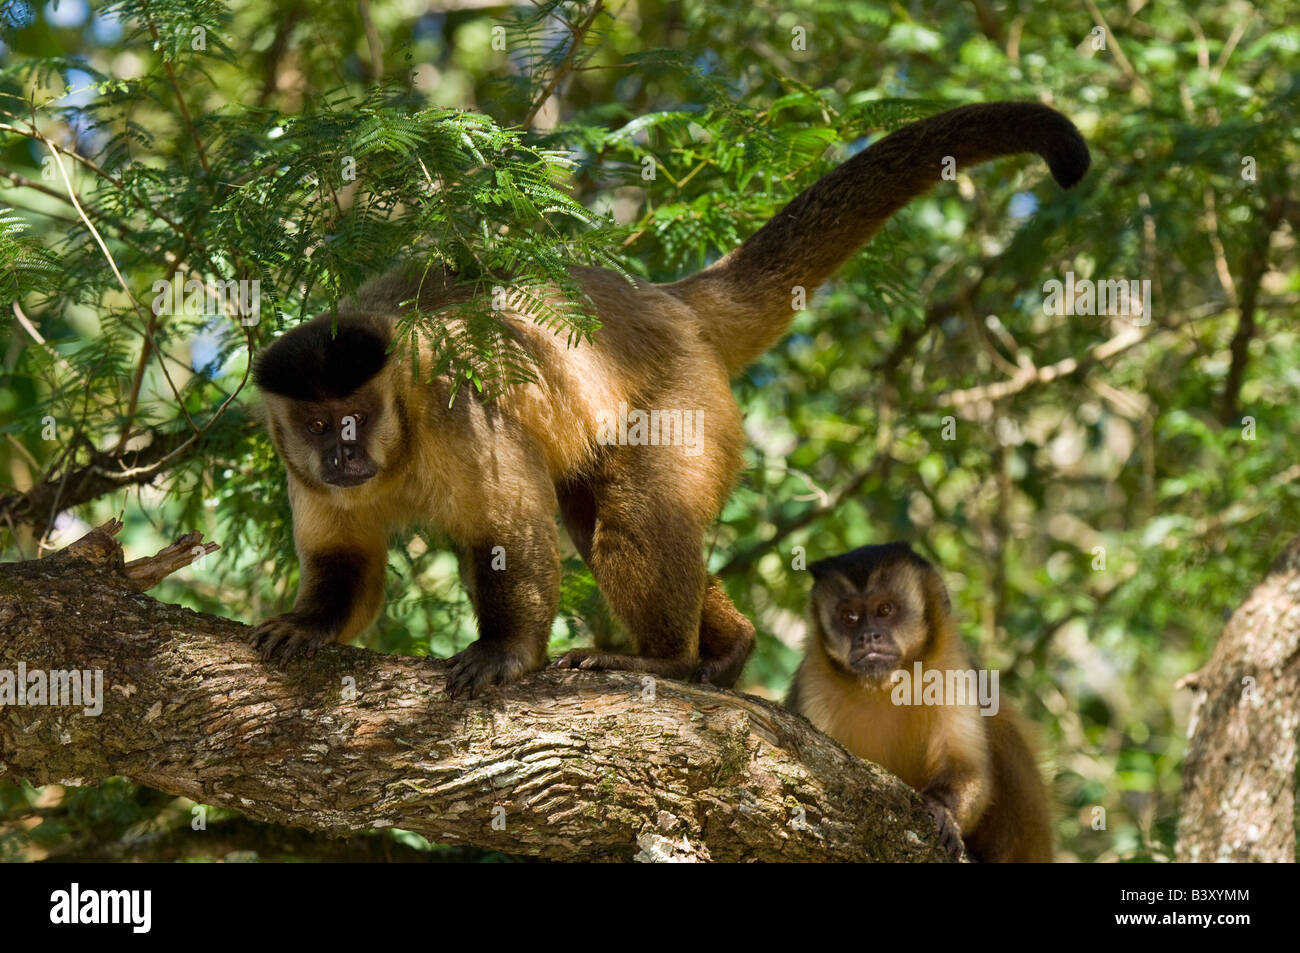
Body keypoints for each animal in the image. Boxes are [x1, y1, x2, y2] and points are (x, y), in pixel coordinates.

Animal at [250, 102, 1090, 700]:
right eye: (320, 424)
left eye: (357, 419)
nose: (343, 453)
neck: (399, 447)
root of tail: (659, 301)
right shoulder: (300, 467)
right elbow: (346, 565)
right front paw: (307, 624)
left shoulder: (457, 410)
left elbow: (510, 531)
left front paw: (505, 652)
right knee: (596, 517)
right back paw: (730, 646)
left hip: (684, 396)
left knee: (630, 517)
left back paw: (667, 661)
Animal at [786, 542, 1053, 862]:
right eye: (849, 616)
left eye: (885, 609)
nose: (868, 636)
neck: (884, 685)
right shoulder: (813, 679)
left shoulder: (951, 663)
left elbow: (968, 768)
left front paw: (942, 810)